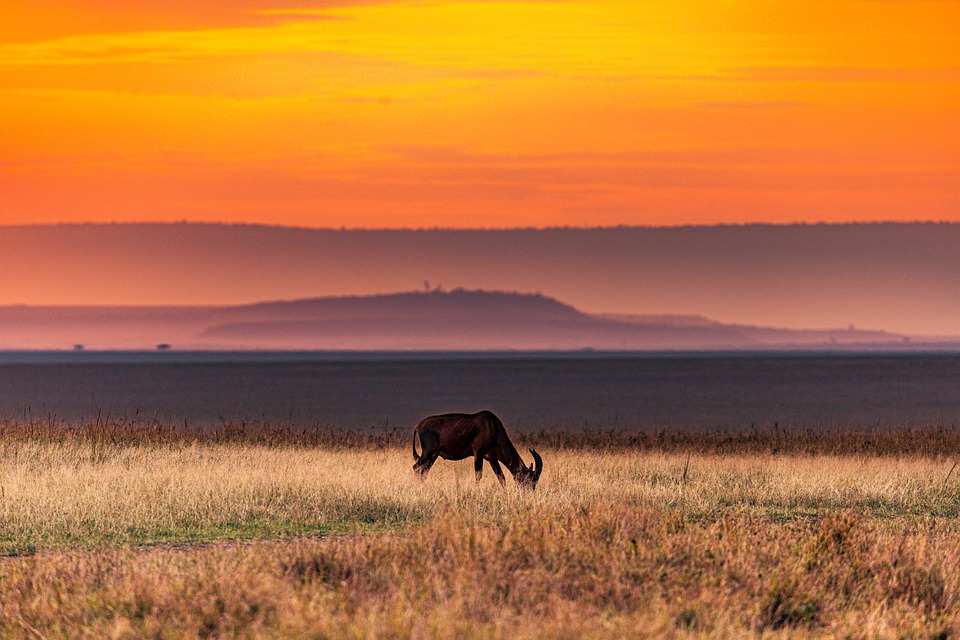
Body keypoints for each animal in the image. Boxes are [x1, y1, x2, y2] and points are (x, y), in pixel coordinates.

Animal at [412, 410, 543, 489]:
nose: (529, 494)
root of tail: (418, 425)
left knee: (424, 471)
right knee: (416, 467)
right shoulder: (478, 452)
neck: (492, 426)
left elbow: (501, 477)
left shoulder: (492, 458)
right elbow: (478, 475)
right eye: (530, 479)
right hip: (428, 453)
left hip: (433, 456)